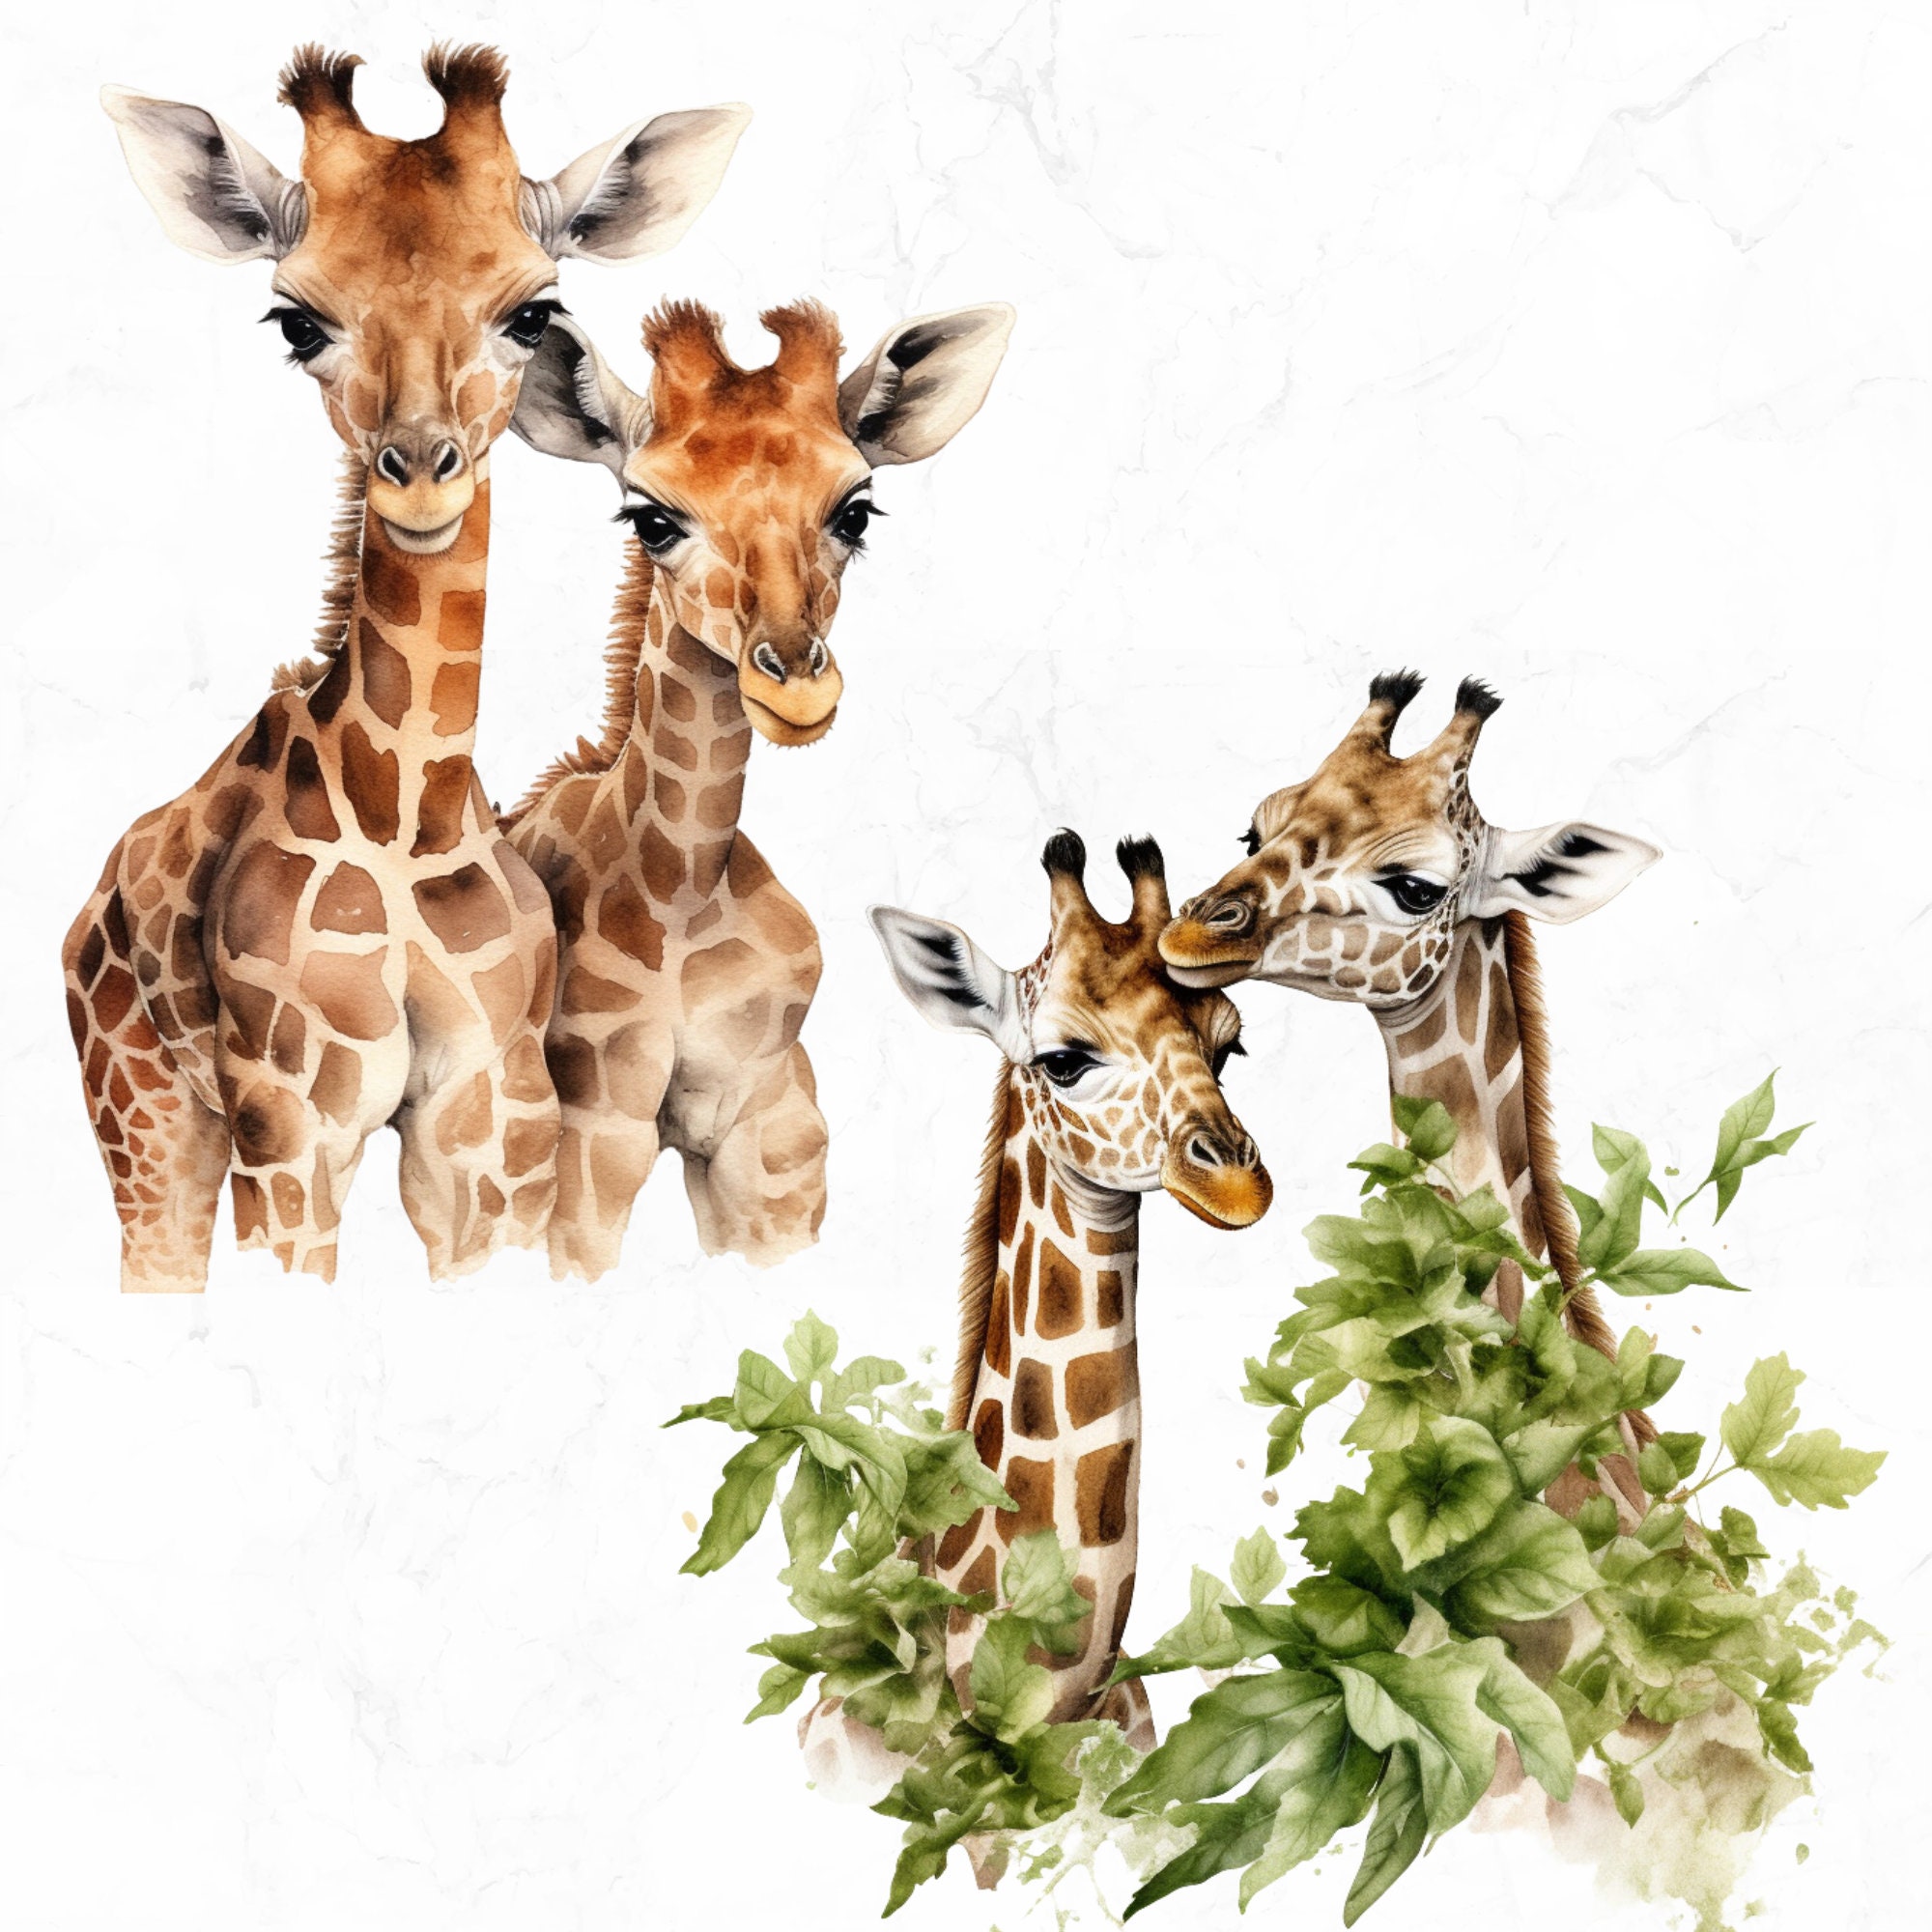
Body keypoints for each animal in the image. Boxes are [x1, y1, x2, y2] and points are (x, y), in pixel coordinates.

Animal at [62, 45, 749, 1289]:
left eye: (532, 310)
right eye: (297, 320)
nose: (420, 471)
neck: (406, 813)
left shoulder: (493, 1125)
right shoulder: (289, 1121)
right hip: (144, 1118)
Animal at [496, 300, 1013, 1277]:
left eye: (855, 511)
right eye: (650, 518)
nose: (798, 689)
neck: (684, 891)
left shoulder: (773, 1135)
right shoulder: (592, 1134)